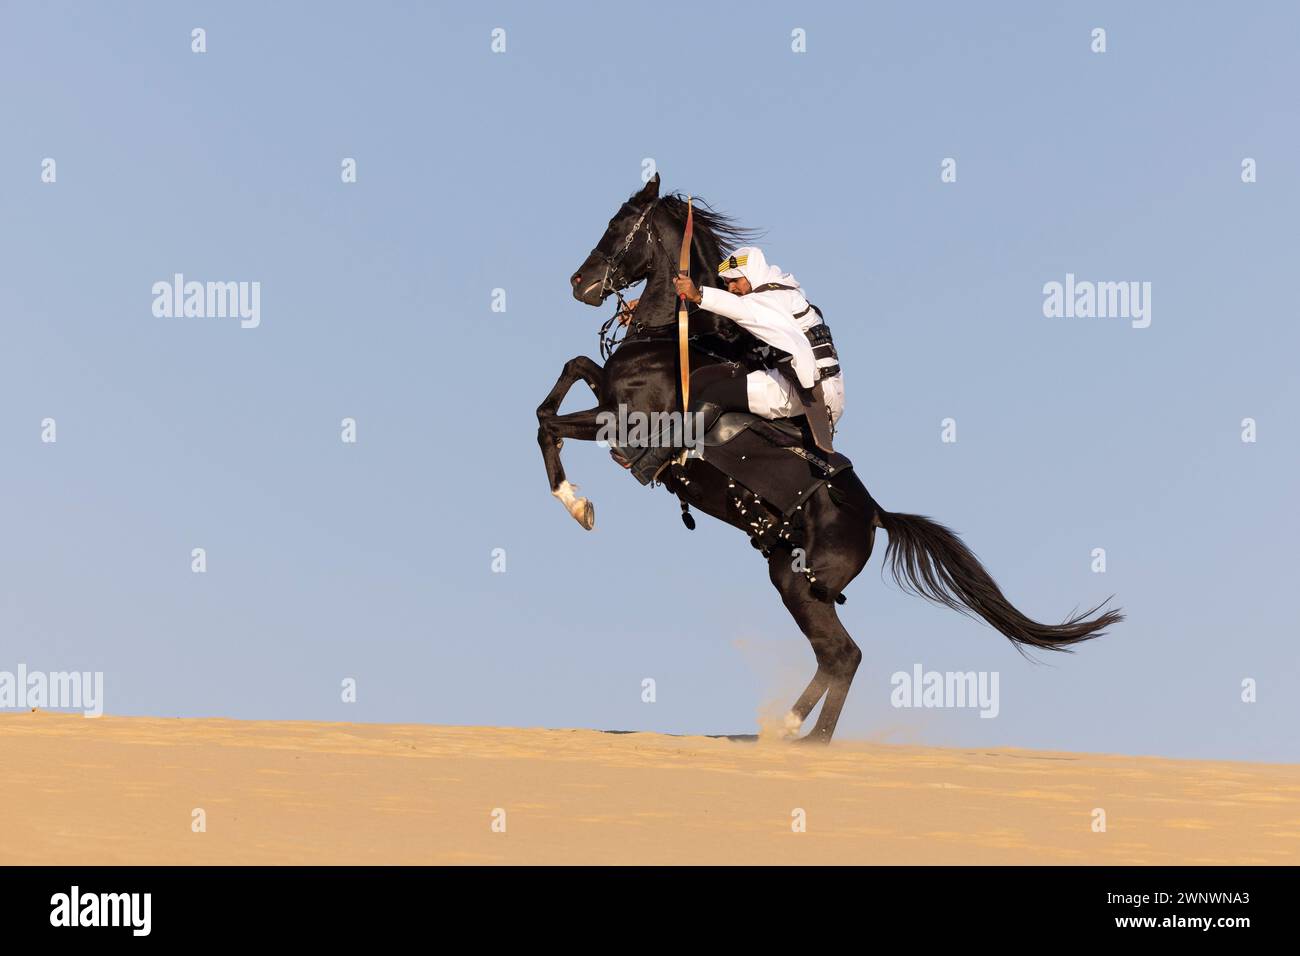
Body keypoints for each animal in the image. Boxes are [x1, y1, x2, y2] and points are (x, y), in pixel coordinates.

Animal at [536, 173, 1122, 743]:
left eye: (619, 224)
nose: (578, 283)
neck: (671, 340)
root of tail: (875, 515)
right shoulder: (605, 394)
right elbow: (566, 380)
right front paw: (573, 493)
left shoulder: (624, 421)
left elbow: (551, 423)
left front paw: (576, 503)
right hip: (788, 573)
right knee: (841, 655)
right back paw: (790, 730)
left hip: (800, 585)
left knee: (843, 655)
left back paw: (803, 735)